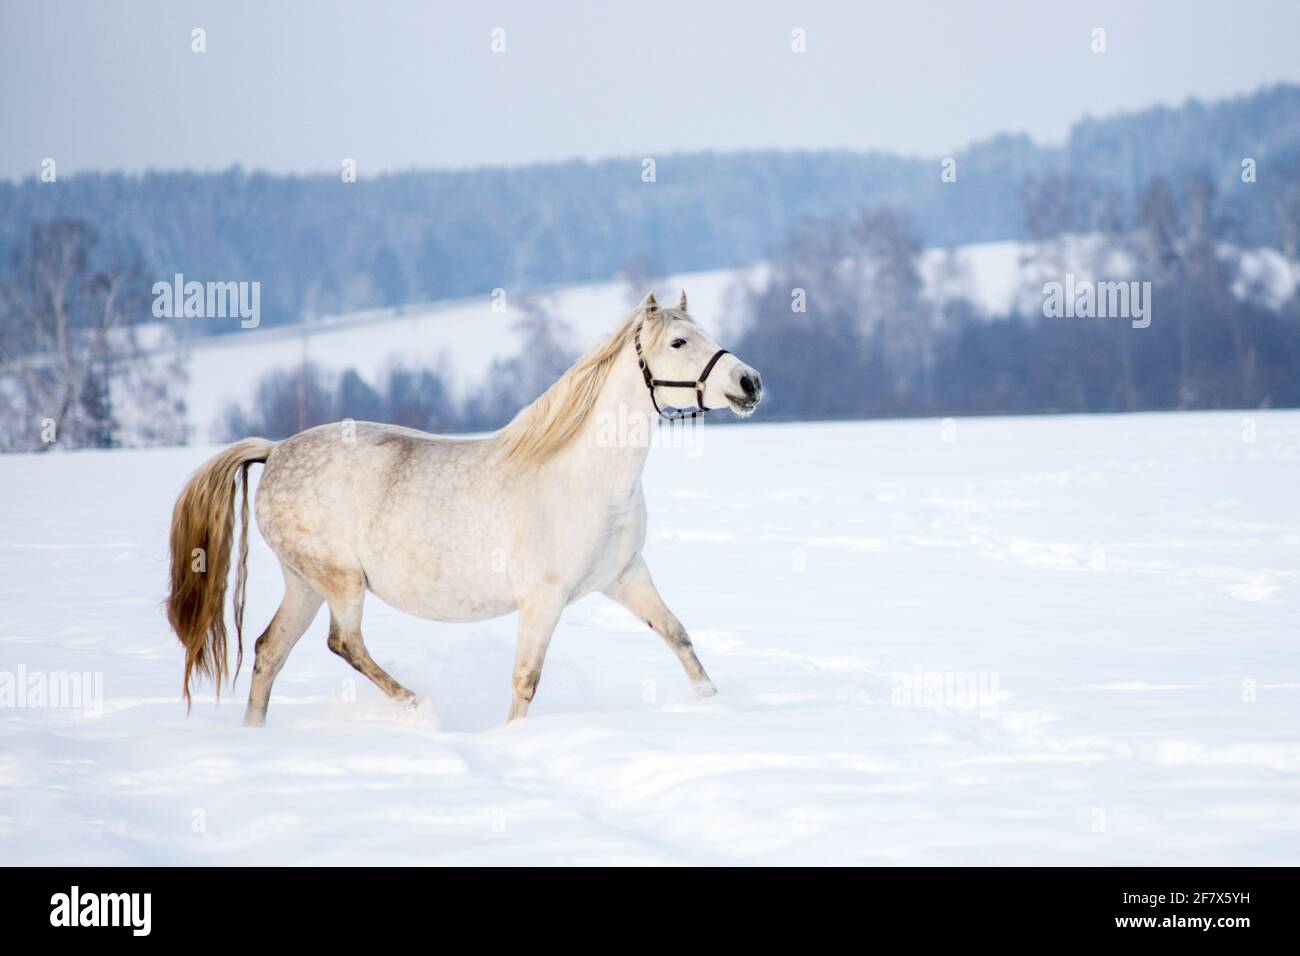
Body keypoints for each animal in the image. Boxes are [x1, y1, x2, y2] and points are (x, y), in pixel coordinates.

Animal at [165, 290, 764, 725]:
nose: (749, 381)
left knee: (269, 652)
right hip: (339, 581)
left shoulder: (625, 577)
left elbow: (678, 636)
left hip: (304, 584)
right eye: (680, 341)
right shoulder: (542, 601)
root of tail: (276, 450)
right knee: (343, 642)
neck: (585, 478)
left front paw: (715, 704)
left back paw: (257, 736)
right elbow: (526, 681)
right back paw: (417, 706)